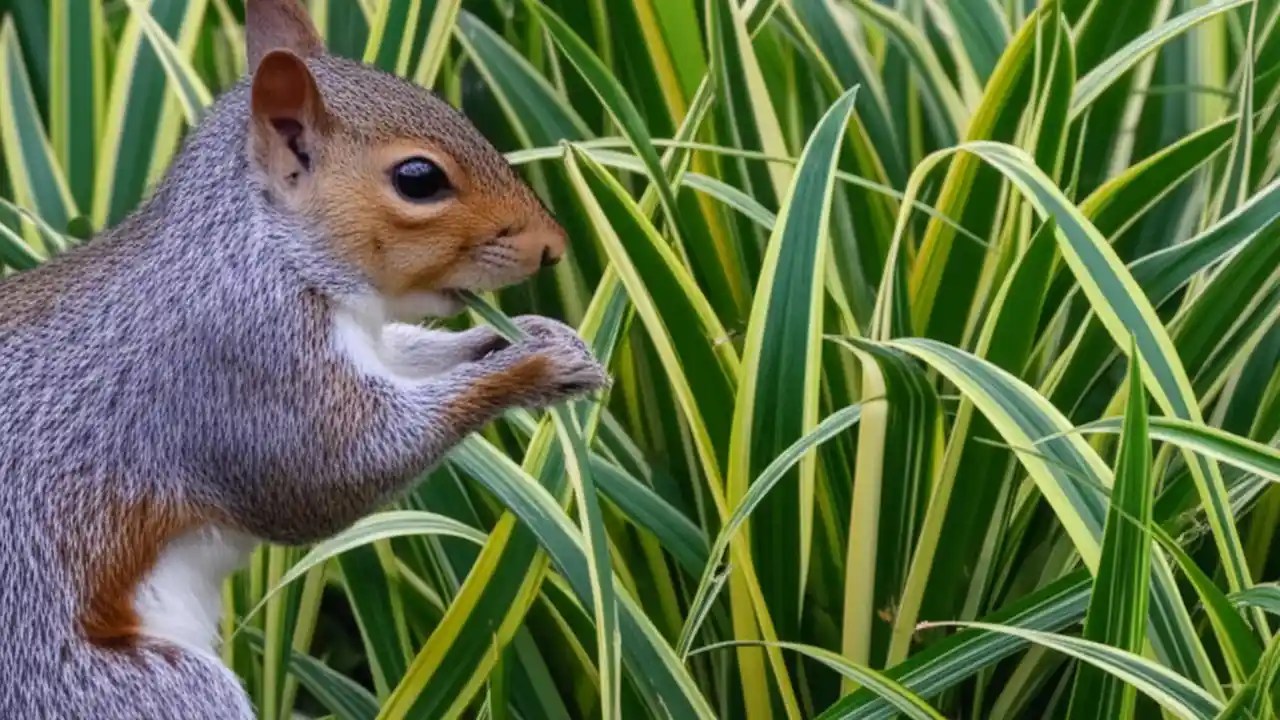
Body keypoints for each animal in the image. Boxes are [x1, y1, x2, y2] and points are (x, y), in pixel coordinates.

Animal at [0, 0, 607, 717]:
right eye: (419, 179)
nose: (554, 246)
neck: (267, 251)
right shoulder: (238, 362)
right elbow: (333, 470)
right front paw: (533, 367)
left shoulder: (367, 344)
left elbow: (419, 355)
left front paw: (531, 336)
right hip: (124, 688)